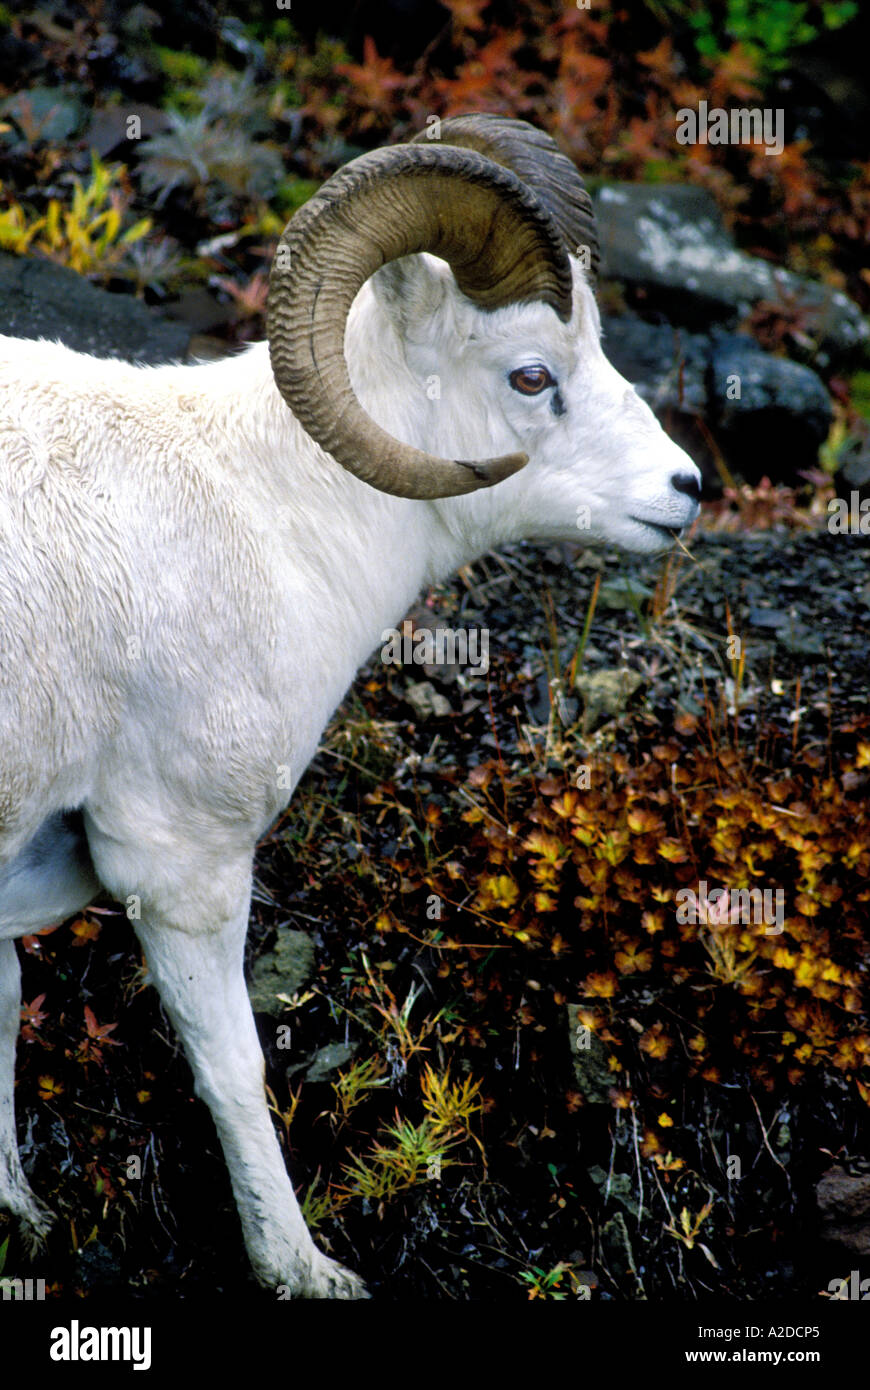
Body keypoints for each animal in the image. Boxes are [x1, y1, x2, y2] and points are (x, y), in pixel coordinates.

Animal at [0, 114, 701, 1298]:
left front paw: (17, 1212)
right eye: (530, 375)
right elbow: (232, 1067)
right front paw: (302, 1268)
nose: (685, 491)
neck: (271, 517)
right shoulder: (180, 865)